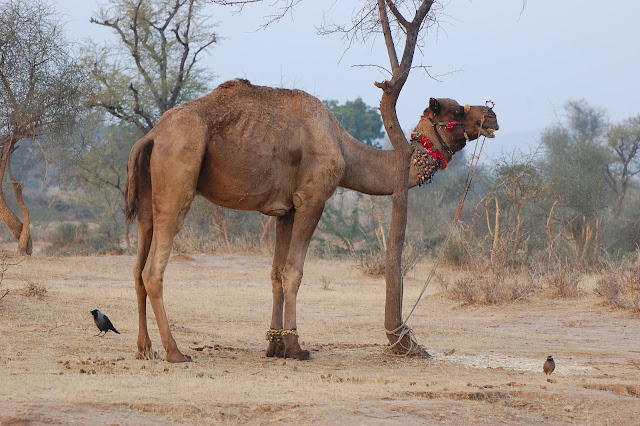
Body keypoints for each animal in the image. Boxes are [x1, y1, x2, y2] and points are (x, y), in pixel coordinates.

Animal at [125, 78, 499, 362]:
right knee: (153, 268)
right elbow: (294, 272)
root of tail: (152, 135)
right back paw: (175, 352)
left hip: (147, 195)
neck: (343, 148)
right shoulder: (312, 198)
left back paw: (144, 349)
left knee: (138, 266)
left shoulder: (285, 210)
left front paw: (274, 345)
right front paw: (296, 347)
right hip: (179, 174)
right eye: (457, 110)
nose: (492, 114)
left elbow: (276, 273)